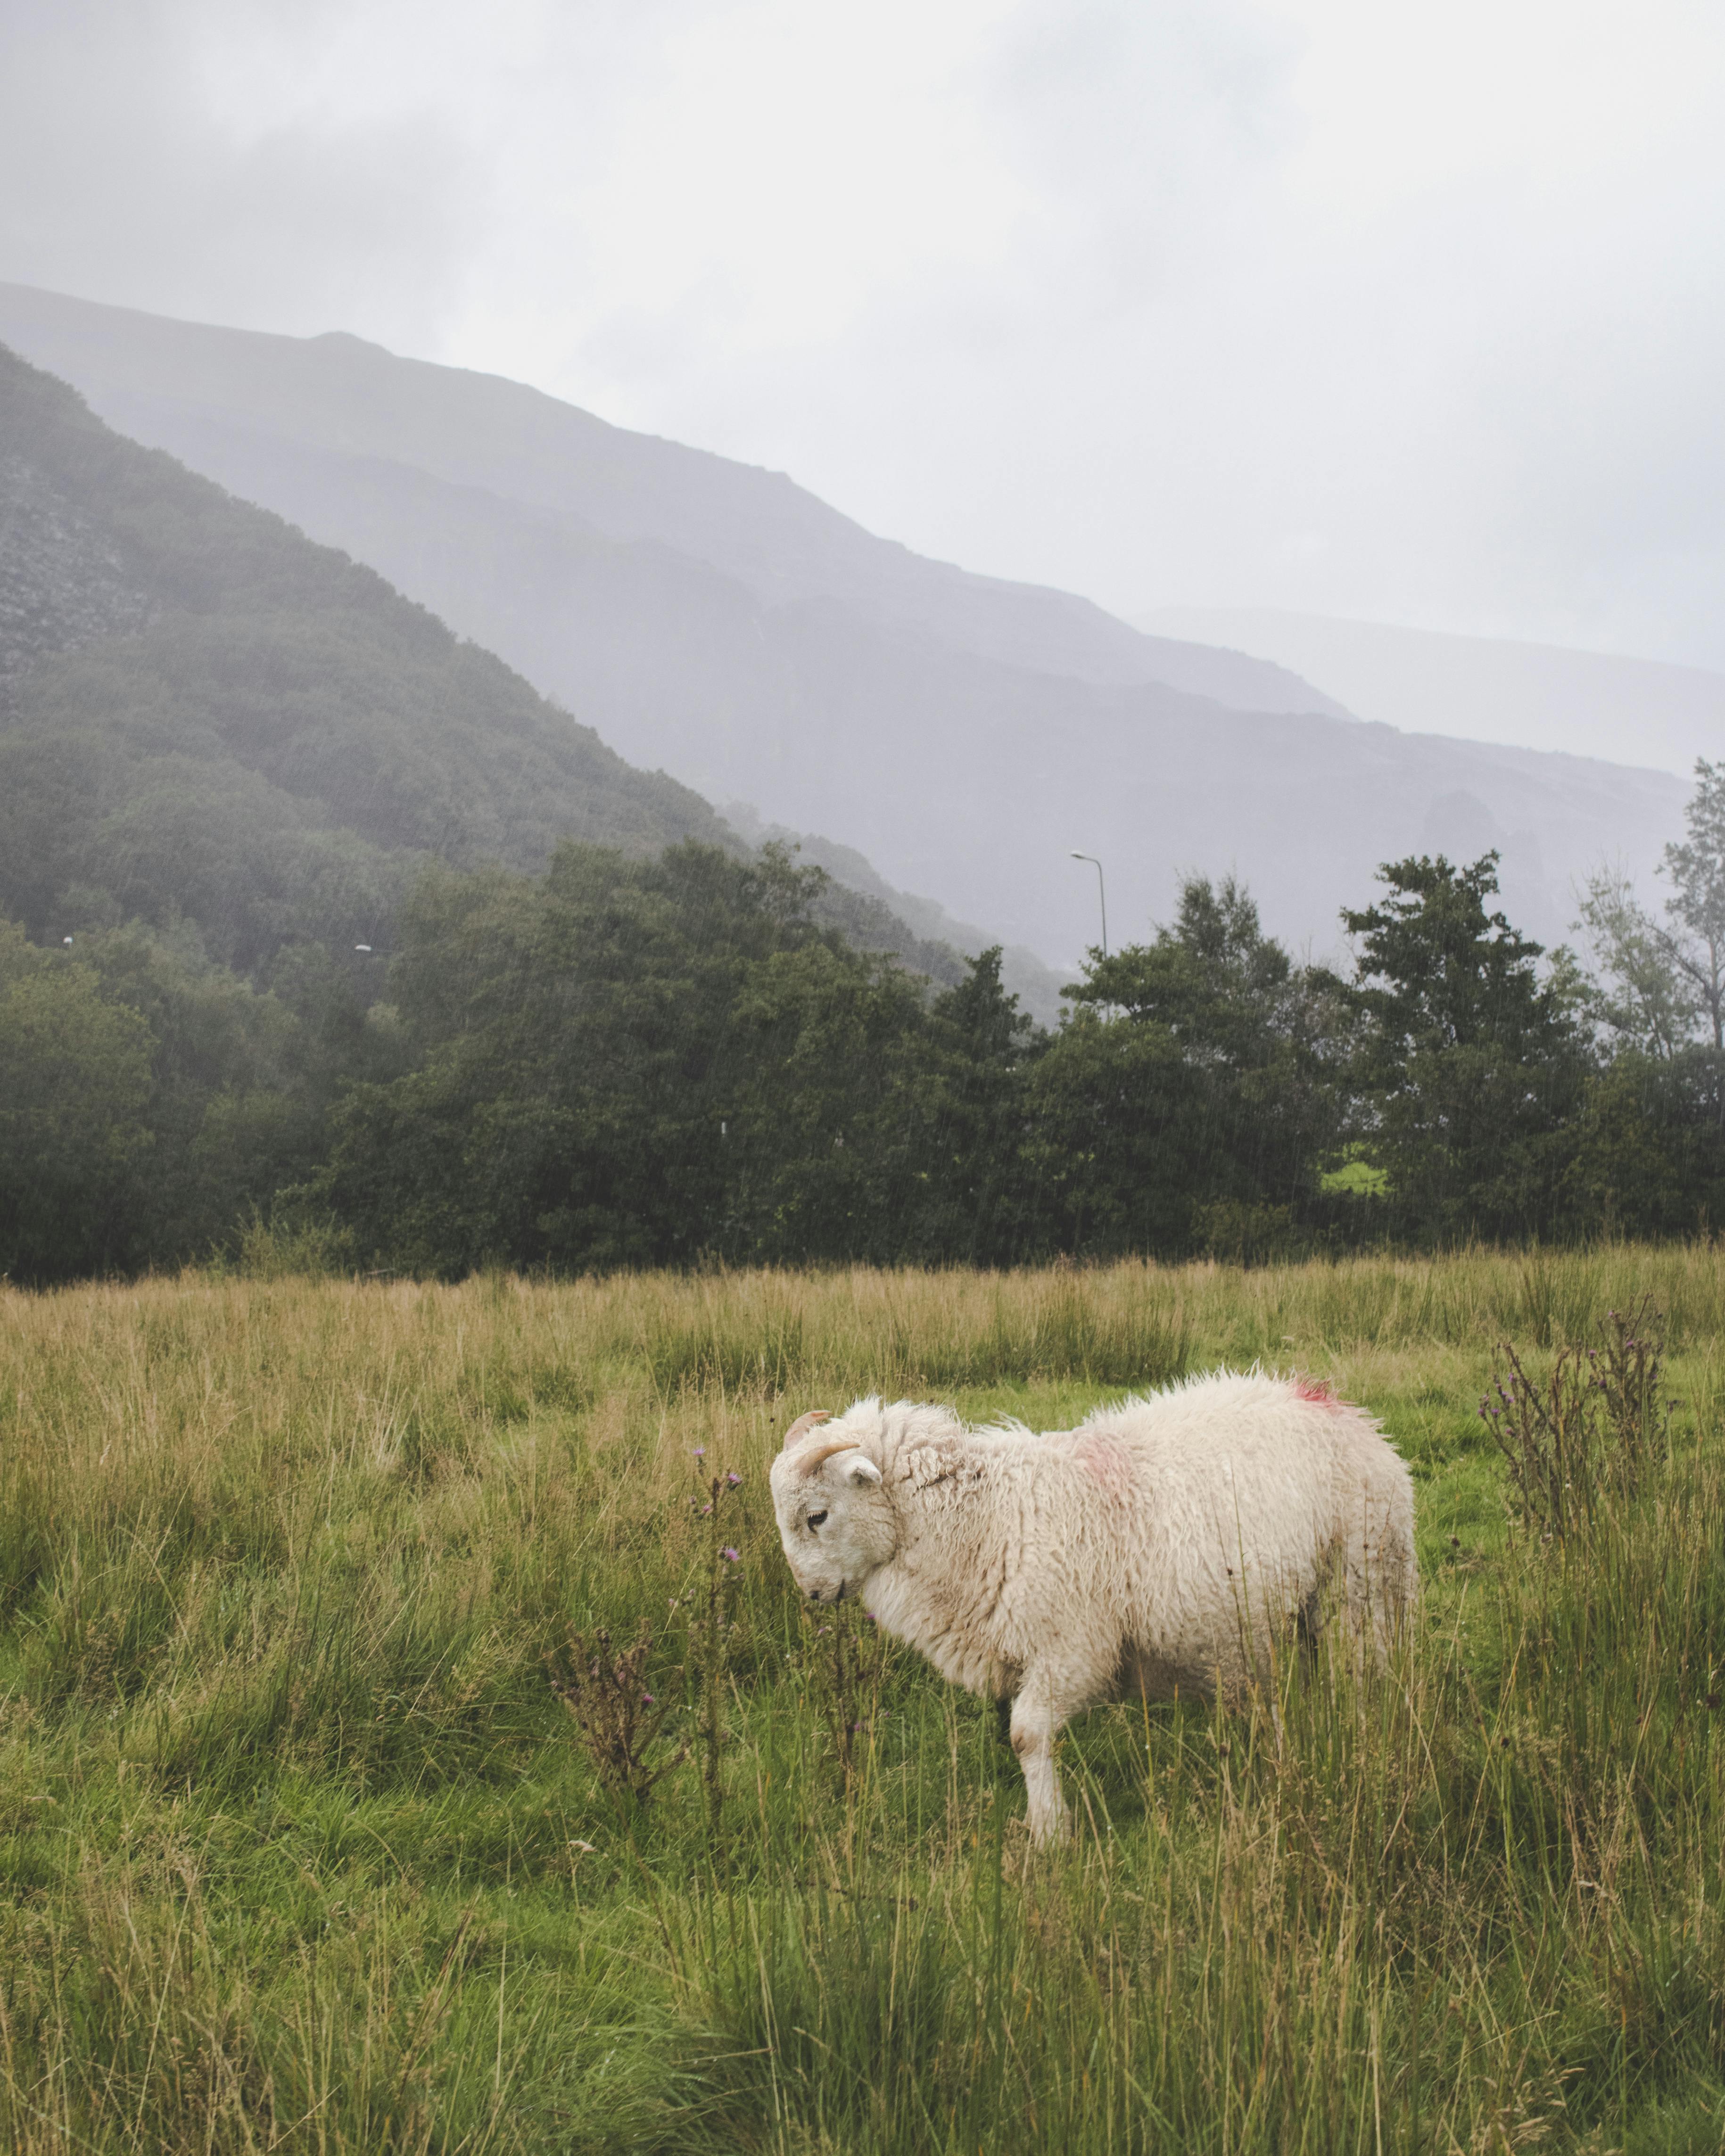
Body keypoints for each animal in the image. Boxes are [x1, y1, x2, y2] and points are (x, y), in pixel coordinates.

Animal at [769, 1371, 1416, 1843]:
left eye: (816, 1515)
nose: (812, 1594)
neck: (985, 1517)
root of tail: (1345, 1411)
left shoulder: (1075, 1650)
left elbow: (1026, 1736)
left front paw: (1049, 1832)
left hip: (1362, 1582)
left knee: (1363, 1678)